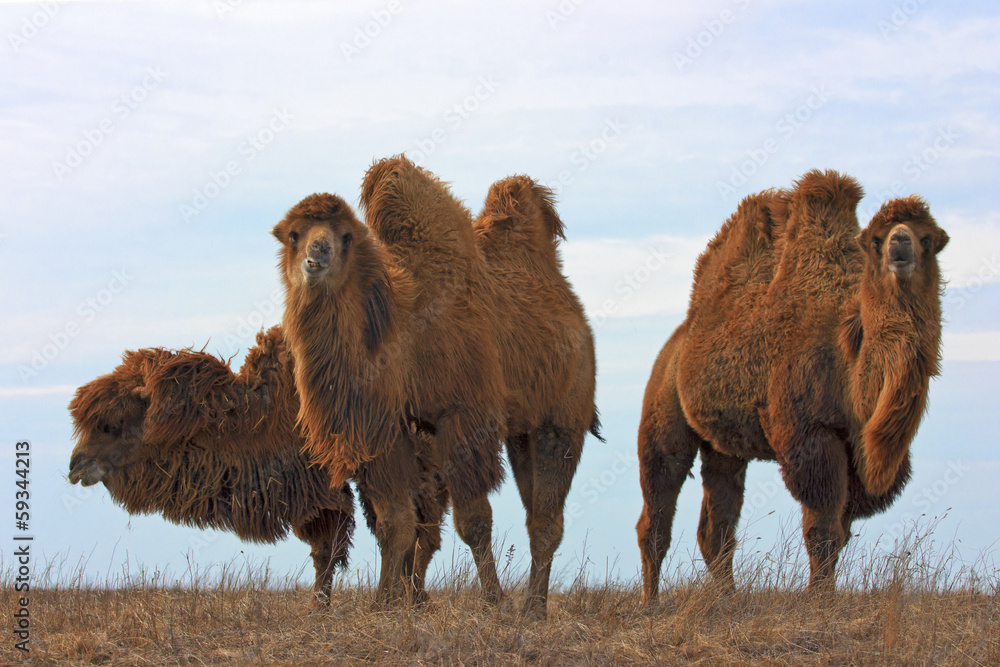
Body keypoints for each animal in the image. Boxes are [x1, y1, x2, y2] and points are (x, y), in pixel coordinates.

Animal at [636, 170, 948, 604]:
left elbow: (841, 531)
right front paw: (819, 601)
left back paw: (728, 599)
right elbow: (822, 530)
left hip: (724, 445)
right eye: (876, 238)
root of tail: (677, 342)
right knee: (658, 501)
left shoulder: (853, 450)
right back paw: (651, 602)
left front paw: (825, 595)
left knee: (716, 522)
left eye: (928, 238)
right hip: (664, 404)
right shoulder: (810, 436)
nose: (899, 244)